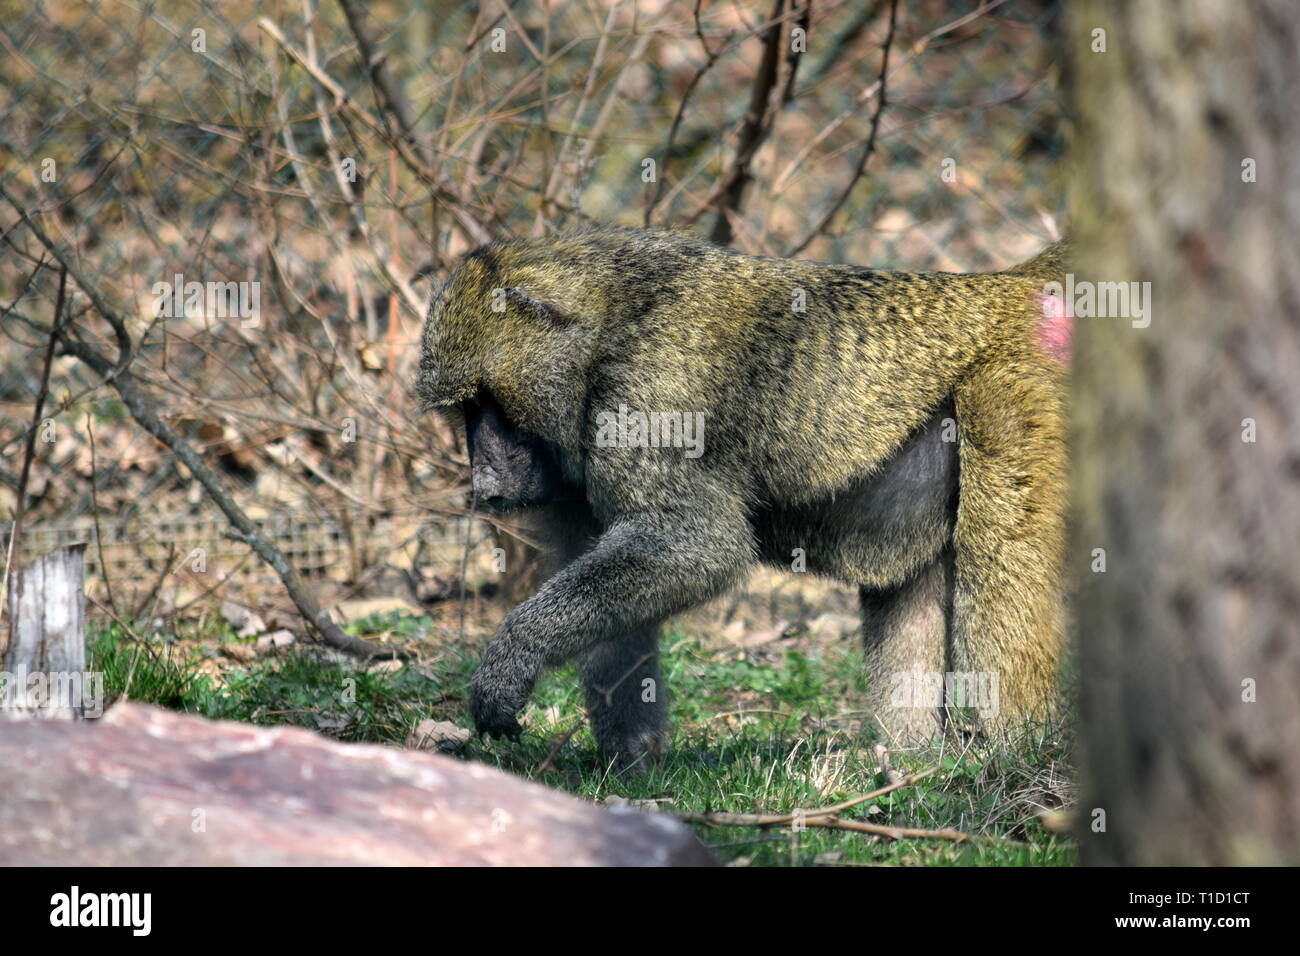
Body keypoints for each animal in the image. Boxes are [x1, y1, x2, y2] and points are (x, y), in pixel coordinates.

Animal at [416, 226, 1069, 759]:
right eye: (468, 410)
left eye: (487, 403)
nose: (485, 482)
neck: (602, 335)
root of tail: (1006, 286)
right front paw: (630, 768)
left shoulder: (648, 402)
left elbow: (699, 548)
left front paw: (512, 659)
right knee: (908, 584)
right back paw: (915, 764)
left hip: (1010, 385)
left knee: (999, 559)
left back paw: (1008, 763)